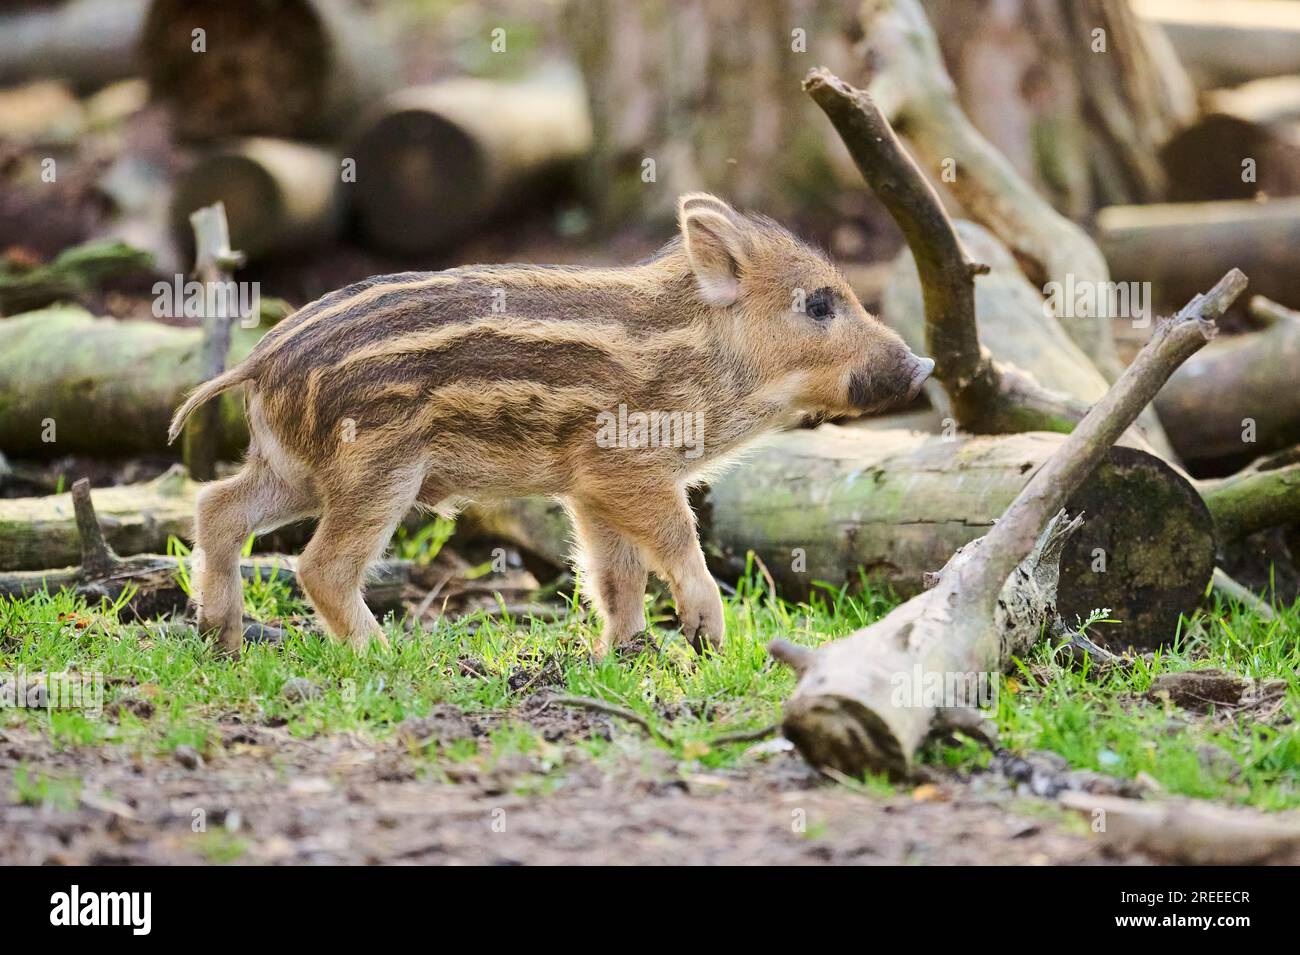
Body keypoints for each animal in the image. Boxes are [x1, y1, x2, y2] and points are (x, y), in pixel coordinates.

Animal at [169, 193, 934, 656]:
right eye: (819, 304)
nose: (923, 364)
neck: (703, 358)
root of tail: (260, 358)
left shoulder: (587, 488)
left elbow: (614, 572)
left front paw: (623, 655)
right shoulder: (624, 465)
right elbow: (675, 540)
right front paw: (706, 637)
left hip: (292, 468)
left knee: (216, 508)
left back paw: (221, 637)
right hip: (377, 471)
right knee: (319, 565)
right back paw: (384, 653)